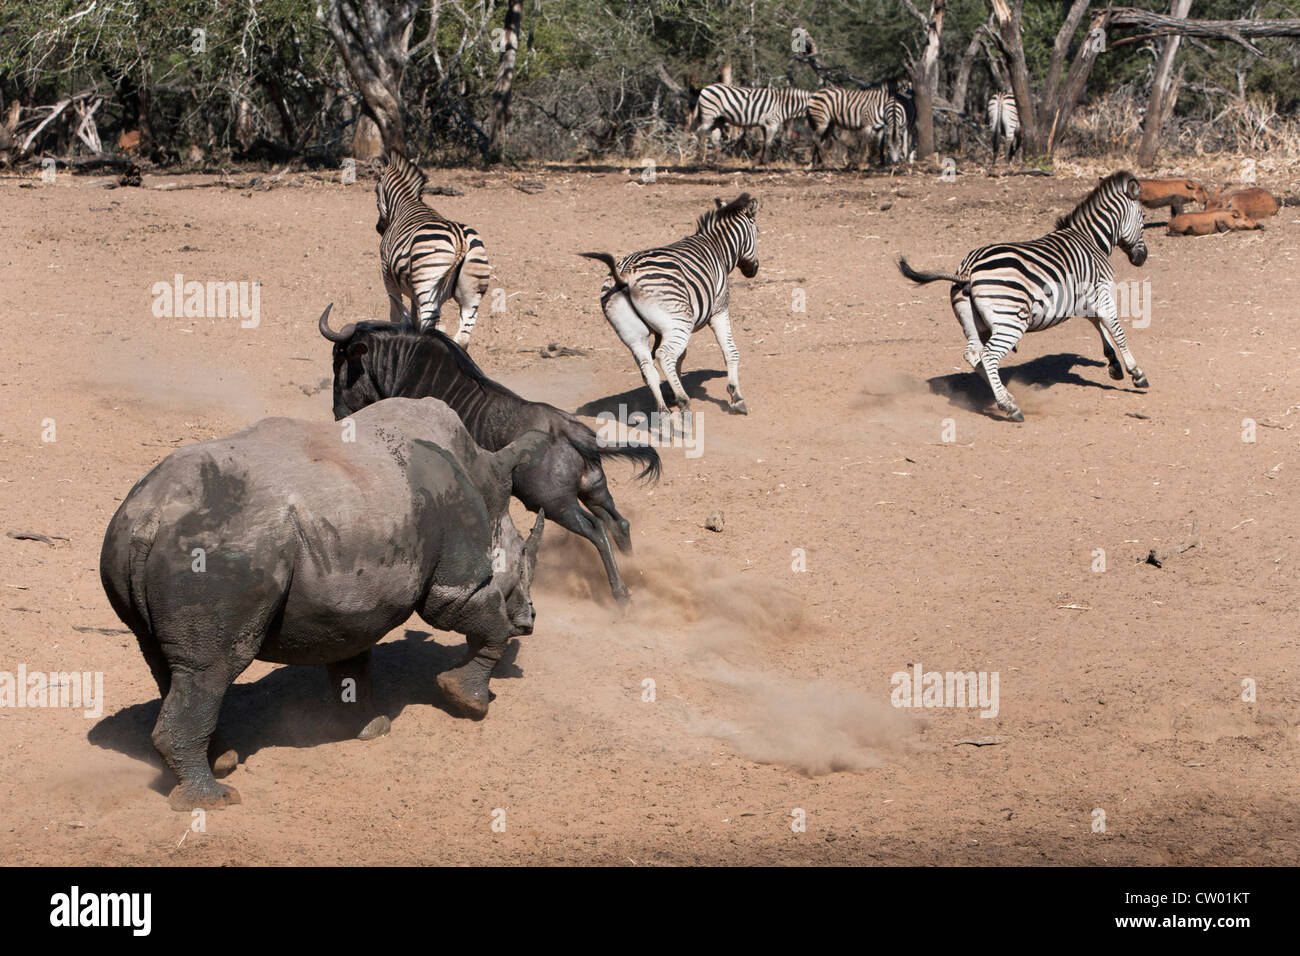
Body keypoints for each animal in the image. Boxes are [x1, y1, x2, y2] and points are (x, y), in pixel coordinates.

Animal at [100, 397, 547, 810]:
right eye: (522, 561)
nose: (529, 621)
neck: (482, 475)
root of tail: (151, 514)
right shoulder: (456, 578)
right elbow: (482, 621)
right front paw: (466, 701)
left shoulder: (355, 597)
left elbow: (352, 657)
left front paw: (370, 727)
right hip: (216, 551)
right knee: (213, 665)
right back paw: (214, 799)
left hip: (129, 536)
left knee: (169, 661)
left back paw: (221, 762)